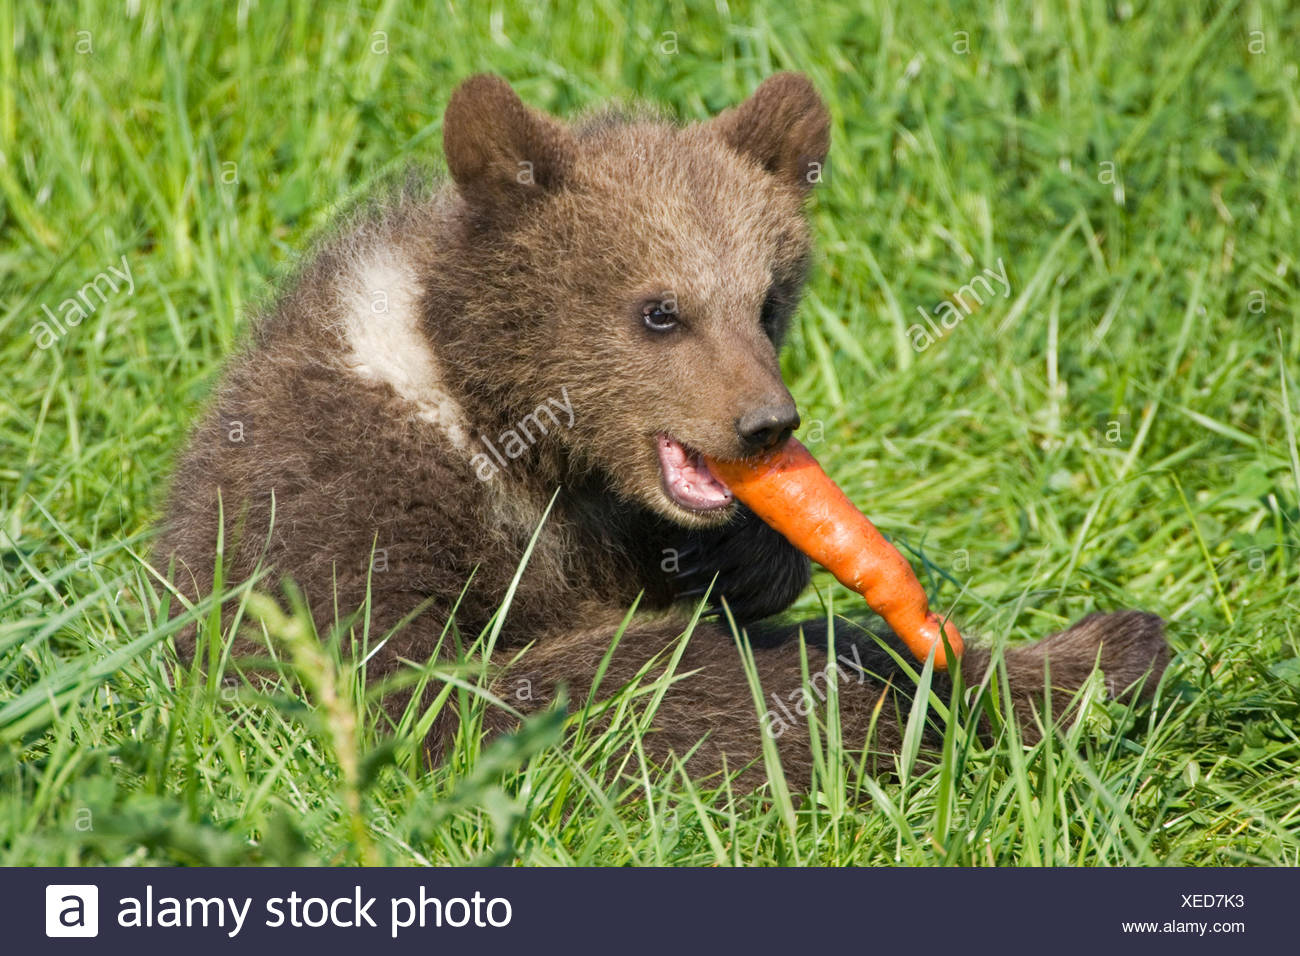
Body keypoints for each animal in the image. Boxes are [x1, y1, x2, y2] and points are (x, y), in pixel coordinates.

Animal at [157, 72, 1170, 787]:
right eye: (660, 311)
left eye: (768, 302)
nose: (766, 424)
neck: (492, 421)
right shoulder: (337, 500)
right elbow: (449, 689)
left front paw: (760, 559)